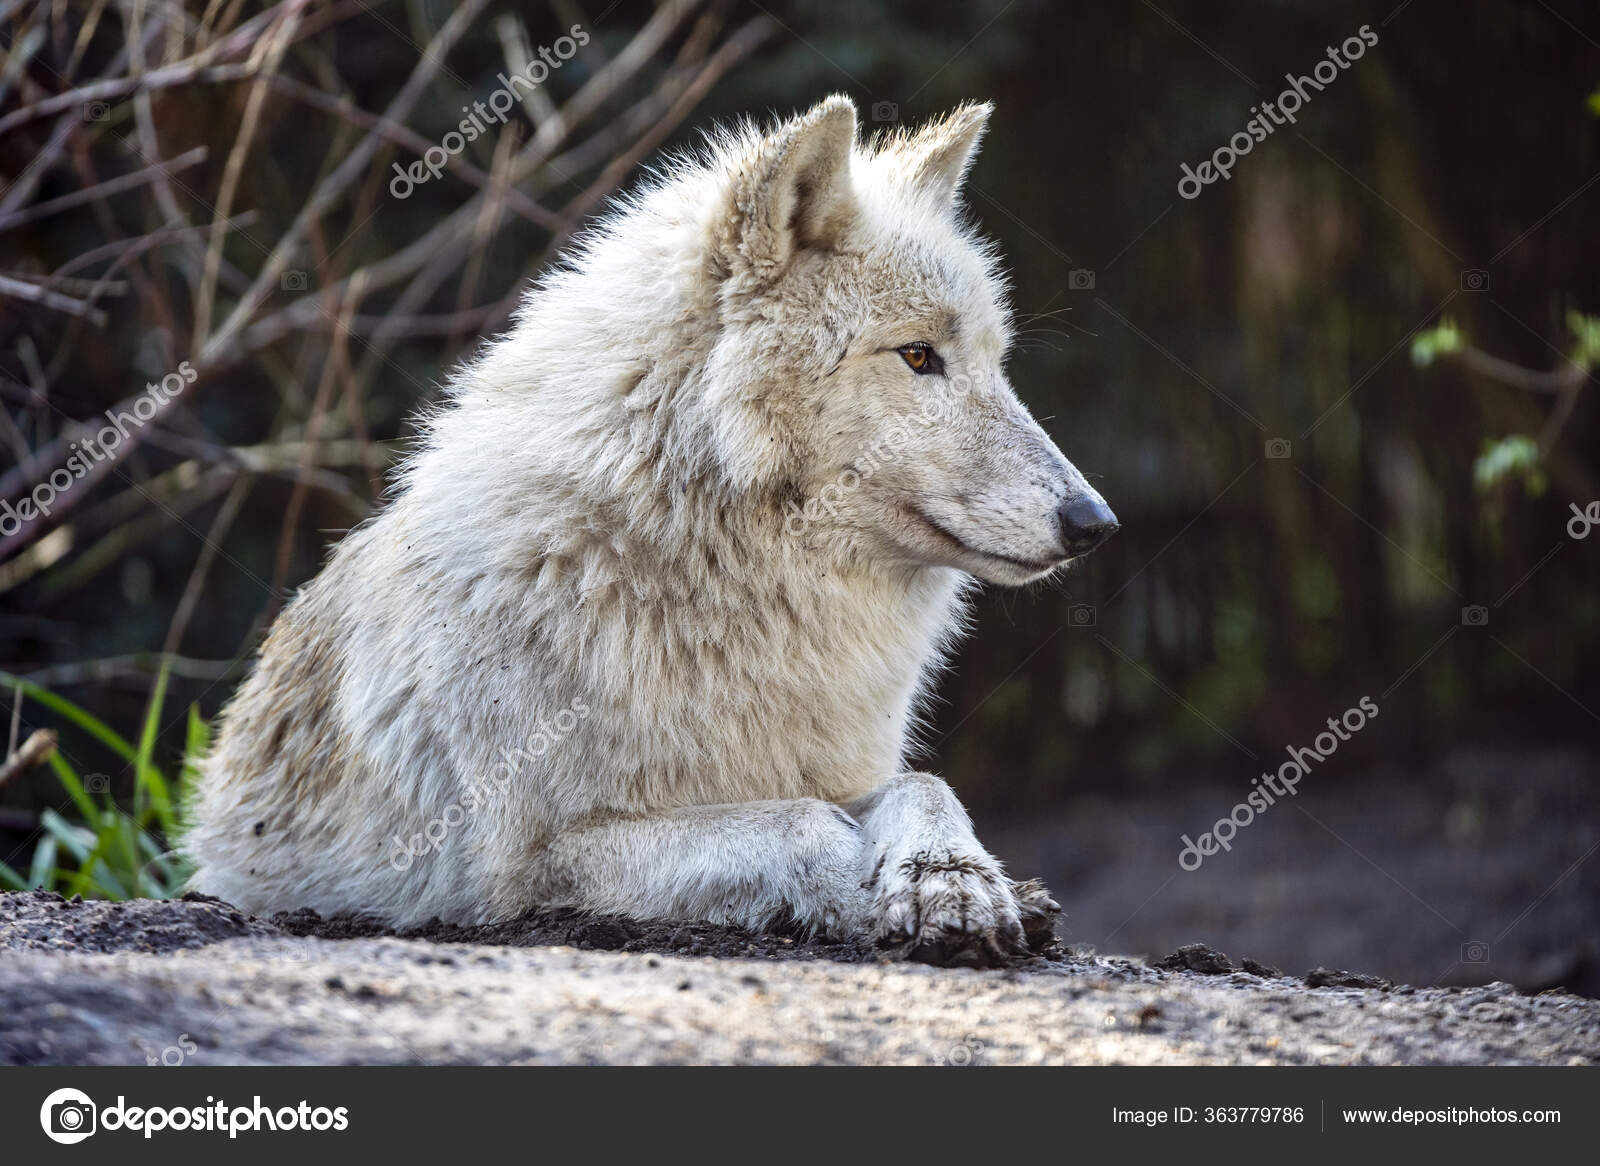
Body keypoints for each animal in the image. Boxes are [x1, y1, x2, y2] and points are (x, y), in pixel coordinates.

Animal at [184, 95, 1118, 964]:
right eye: (919, 356)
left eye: (995, 363)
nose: (1095, 522)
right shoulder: (532, 866)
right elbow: (805, 825)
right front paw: (867, 897)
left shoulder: (852, 768)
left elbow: (924, 786)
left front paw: (955, 882)